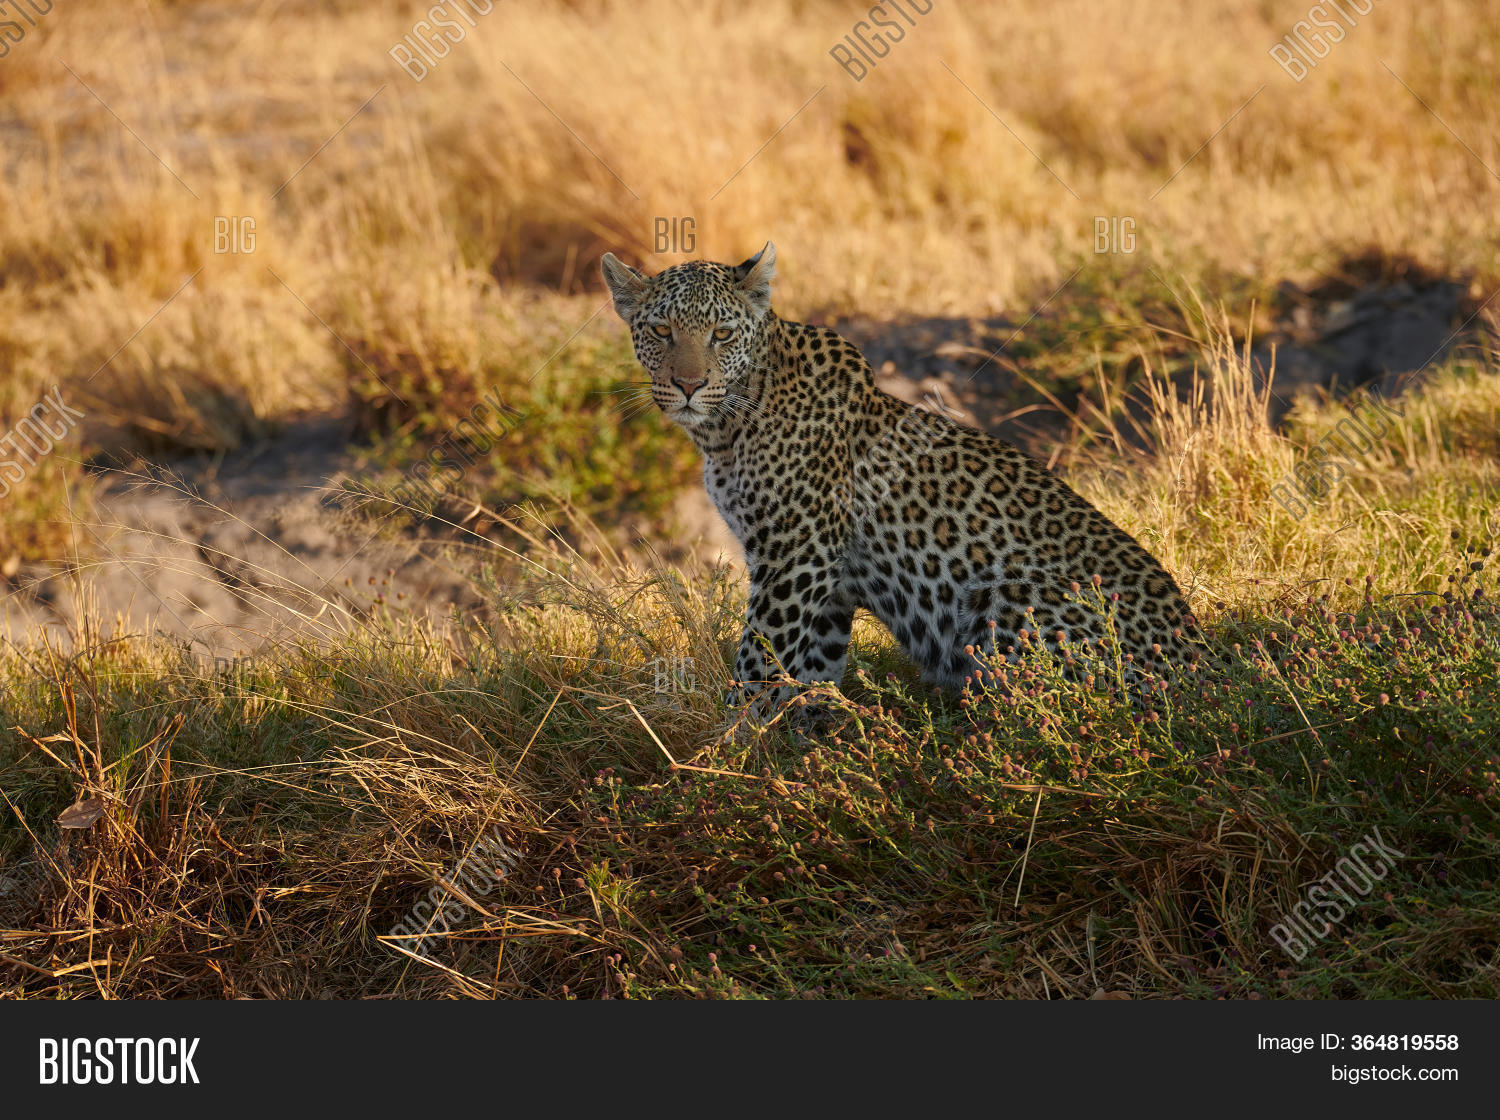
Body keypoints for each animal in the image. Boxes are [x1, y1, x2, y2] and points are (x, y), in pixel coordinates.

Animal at [601, 241, 1201, 720]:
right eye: (660, 331)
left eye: (722, 335)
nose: (688, 385)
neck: (726, 429)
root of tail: (1207, 668)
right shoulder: (826, 580)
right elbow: (813, 669)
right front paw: (808, 742)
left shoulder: (795, 554)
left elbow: (759, 657)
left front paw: (725, 744)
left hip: (1012, 601)